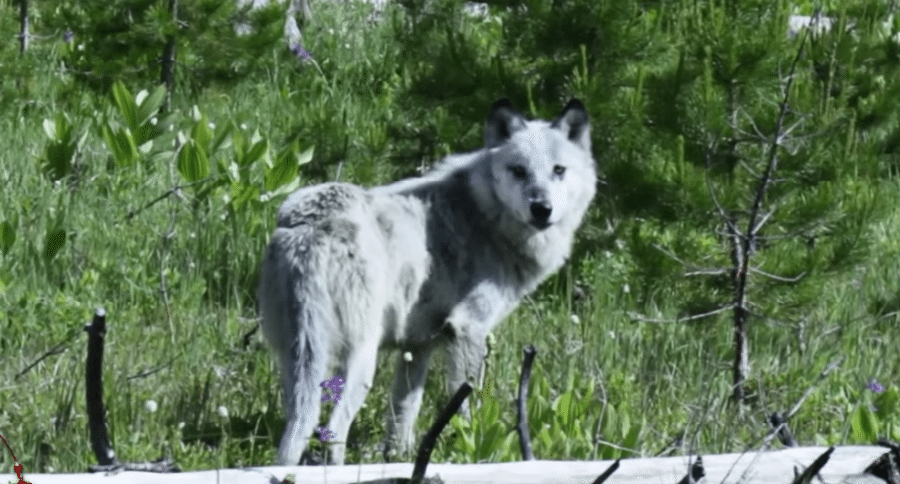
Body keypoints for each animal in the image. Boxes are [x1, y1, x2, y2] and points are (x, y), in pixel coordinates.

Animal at [258, 98, 596, 465]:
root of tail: (311, 226)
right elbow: (470, 412)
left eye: (558, 170)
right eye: (519, 171)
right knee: (332, 430)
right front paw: (473, 452)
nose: (541, 209)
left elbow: (403, 416)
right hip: (360, 363)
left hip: (298, 364)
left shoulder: (417, 347)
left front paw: (399, 460)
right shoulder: (467, 329)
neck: (484, 215)